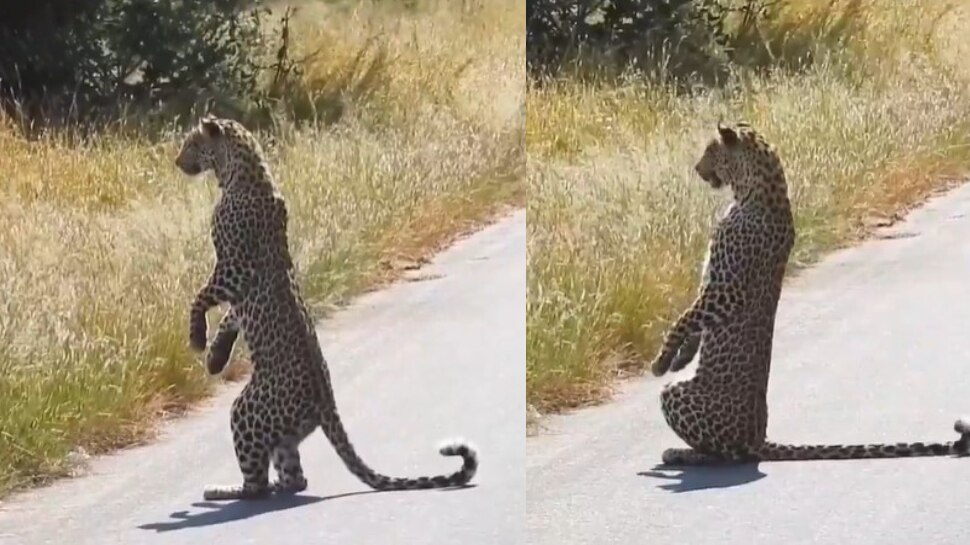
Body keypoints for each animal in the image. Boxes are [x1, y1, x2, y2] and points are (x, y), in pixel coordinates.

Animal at [175, 115, 478, 500]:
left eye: (191, 144)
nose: (177, 161)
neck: (240, 171)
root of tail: (326, 405)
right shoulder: (237, 284)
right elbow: (231, 316)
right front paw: (215, 357)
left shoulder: (233, 268)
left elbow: (201, 297)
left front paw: (197, 338)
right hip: (281, 431)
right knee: (294, 477)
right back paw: (269, 484)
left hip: (246, 408)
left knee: (257, 485)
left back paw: (221, 492)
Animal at [650, 121, 970, 465]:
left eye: (711, 151)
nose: (697, 169)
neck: (750, 191)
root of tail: (759, 439)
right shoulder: (710, 281)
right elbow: (694, 317)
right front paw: (681, 358)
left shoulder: (728, 290)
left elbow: (685, 318)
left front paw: (660, 362)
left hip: (679, 396)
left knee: (727, 454)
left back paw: (679, 453)